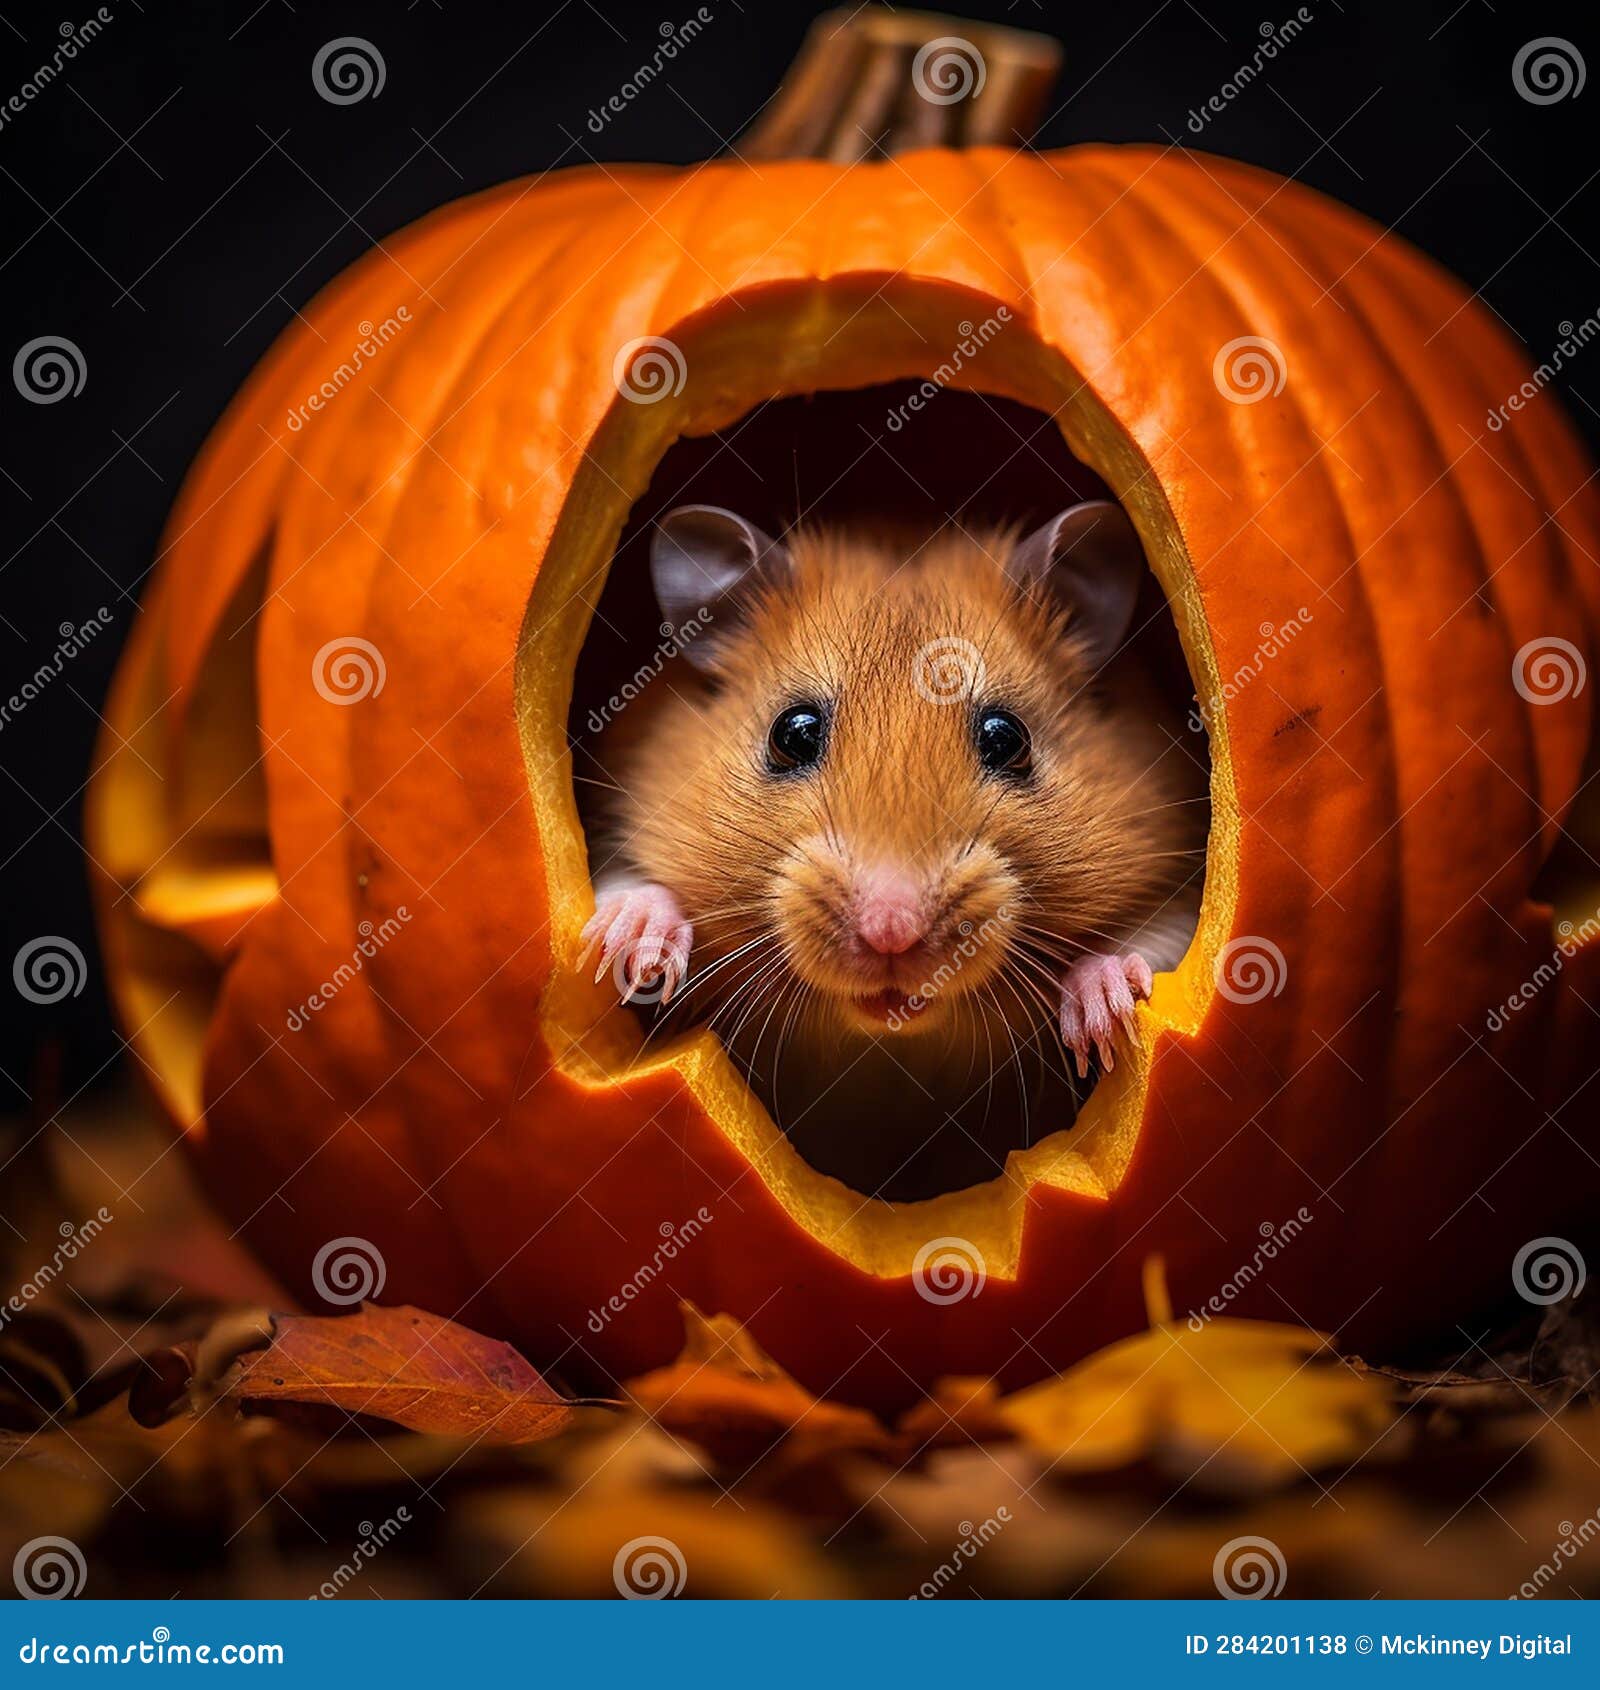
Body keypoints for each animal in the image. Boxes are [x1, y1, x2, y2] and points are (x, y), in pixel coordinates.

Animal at [577, 501, 1207, 1196]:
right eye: (792, 733)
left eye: (1007, 737)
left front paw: (1097, 1008)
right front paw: (641, 938)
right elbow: (623, 889)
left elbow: (1156, 940)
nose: (891, 934)